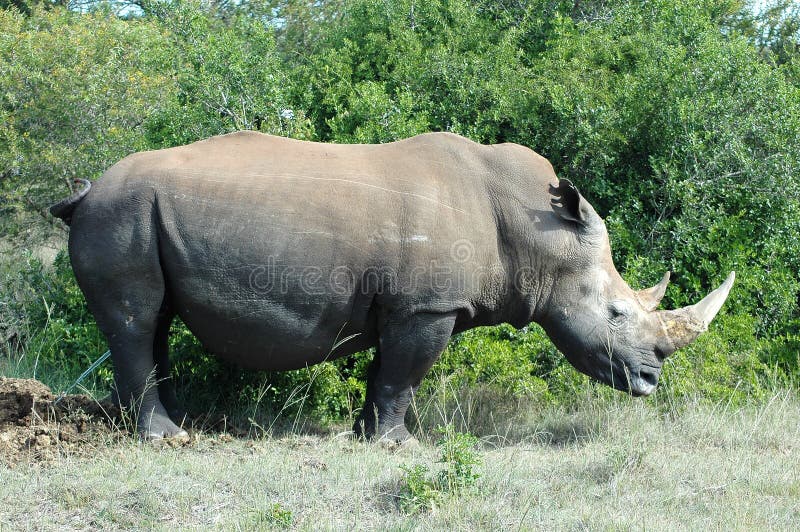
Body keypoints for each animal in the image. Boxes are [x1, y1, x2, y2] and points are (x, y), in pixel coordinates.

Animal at [50, 131, 734, 440]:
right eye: (616, 313)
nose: (650, 380)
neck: (534, 236)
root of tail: (84, 194)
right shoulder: (426, 306)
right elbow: (404, 373)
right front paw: (399, 445)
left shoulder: (405, 304)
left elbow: (385, 373)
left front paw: (365, 435)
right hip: (120, 213)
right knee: (136, 320)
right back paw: (165, 437)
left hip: (136, 214)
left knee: (158, 321)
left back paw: (178, 423)